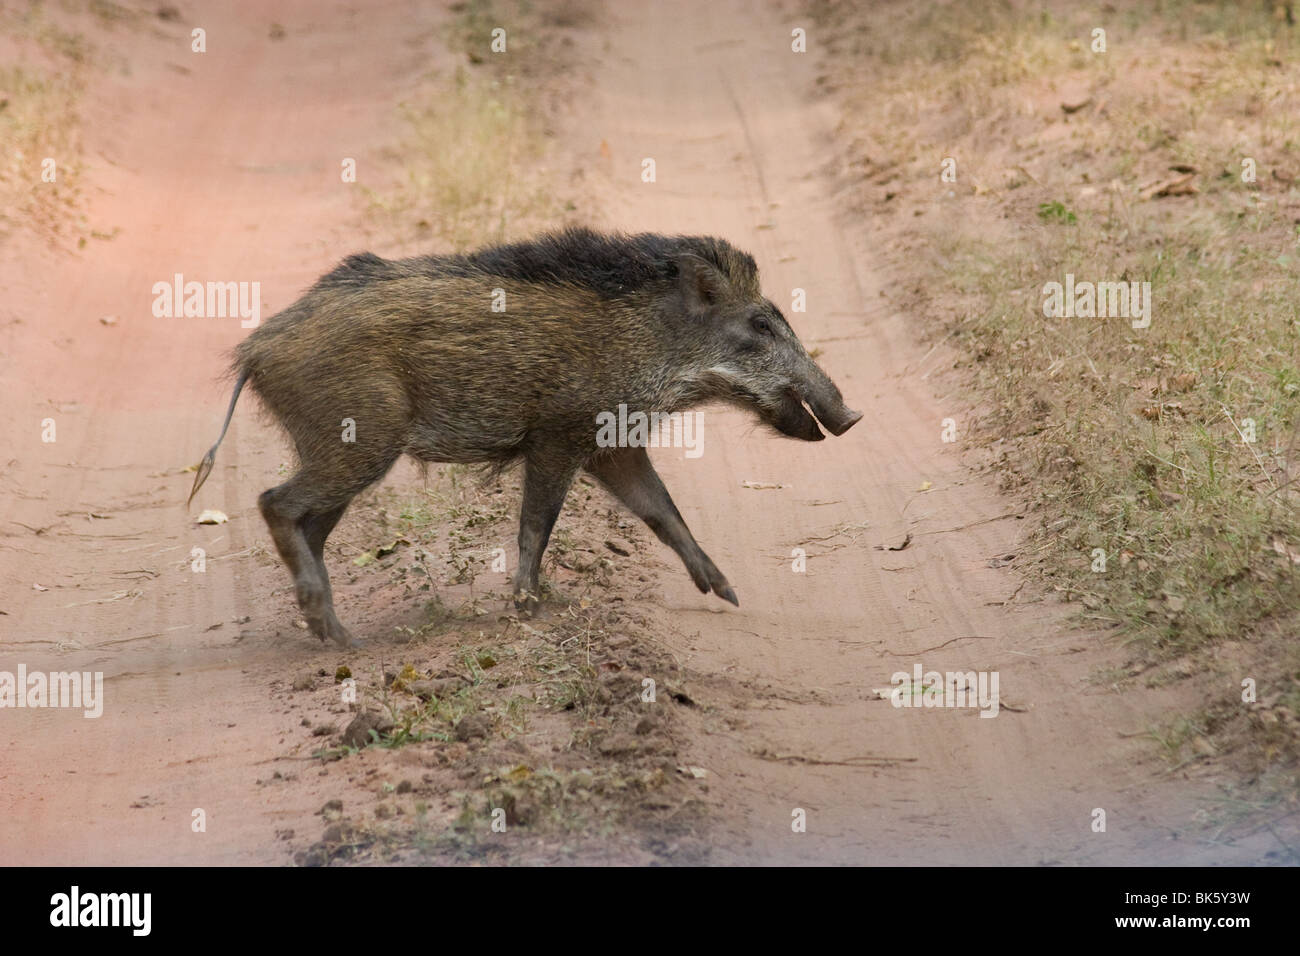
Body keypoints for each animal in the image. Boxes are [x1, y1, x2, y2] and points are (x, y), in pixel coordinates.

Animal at [188, 228, 861, 647]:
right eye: (759, 326)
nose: (851, 416)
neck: (651, 340)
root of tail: (258, 348)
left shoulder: (611, 445)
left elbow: (663, 512)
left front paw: (728, 594)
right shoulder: (559, 436)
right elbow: (538, 521)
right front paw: (529, 608)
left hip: (343, 448)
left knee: (309, 526)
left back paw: (332, 632)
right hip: (360, 440)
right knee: (275, 504)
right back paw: (339, 638)